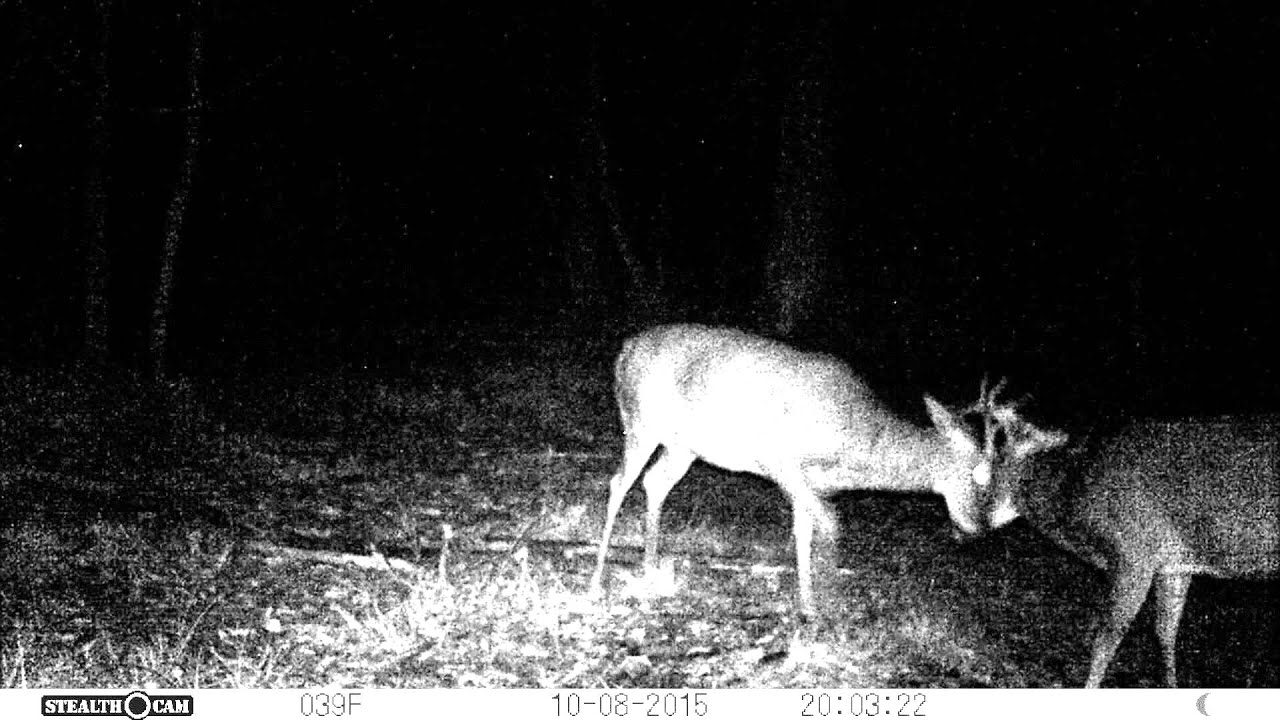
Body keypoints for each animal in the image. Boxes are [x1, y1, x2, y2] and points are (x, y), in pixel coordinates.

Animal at [588, 323, 1001, 617]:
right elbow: (832, 526)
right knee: (618, 482)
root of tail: (625, 350)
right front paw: (830, 604)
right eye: (981, 473)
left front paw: (808, 606)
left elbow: (805, 533)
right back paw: (597, 578)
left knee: (654, 482)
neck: (856, 443)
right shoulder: (783, 463)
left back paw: (650, 568)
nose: (977, 527)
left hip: (683, 446)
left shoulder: (811, 483)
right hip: (641, 421)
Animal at [963, 380, 1279, 687]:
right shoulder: (1174, 563)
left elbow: (1106, 638)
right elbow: (1165, 632)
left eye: (997, 455)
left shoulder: (1134, 552)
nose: (970, 522)